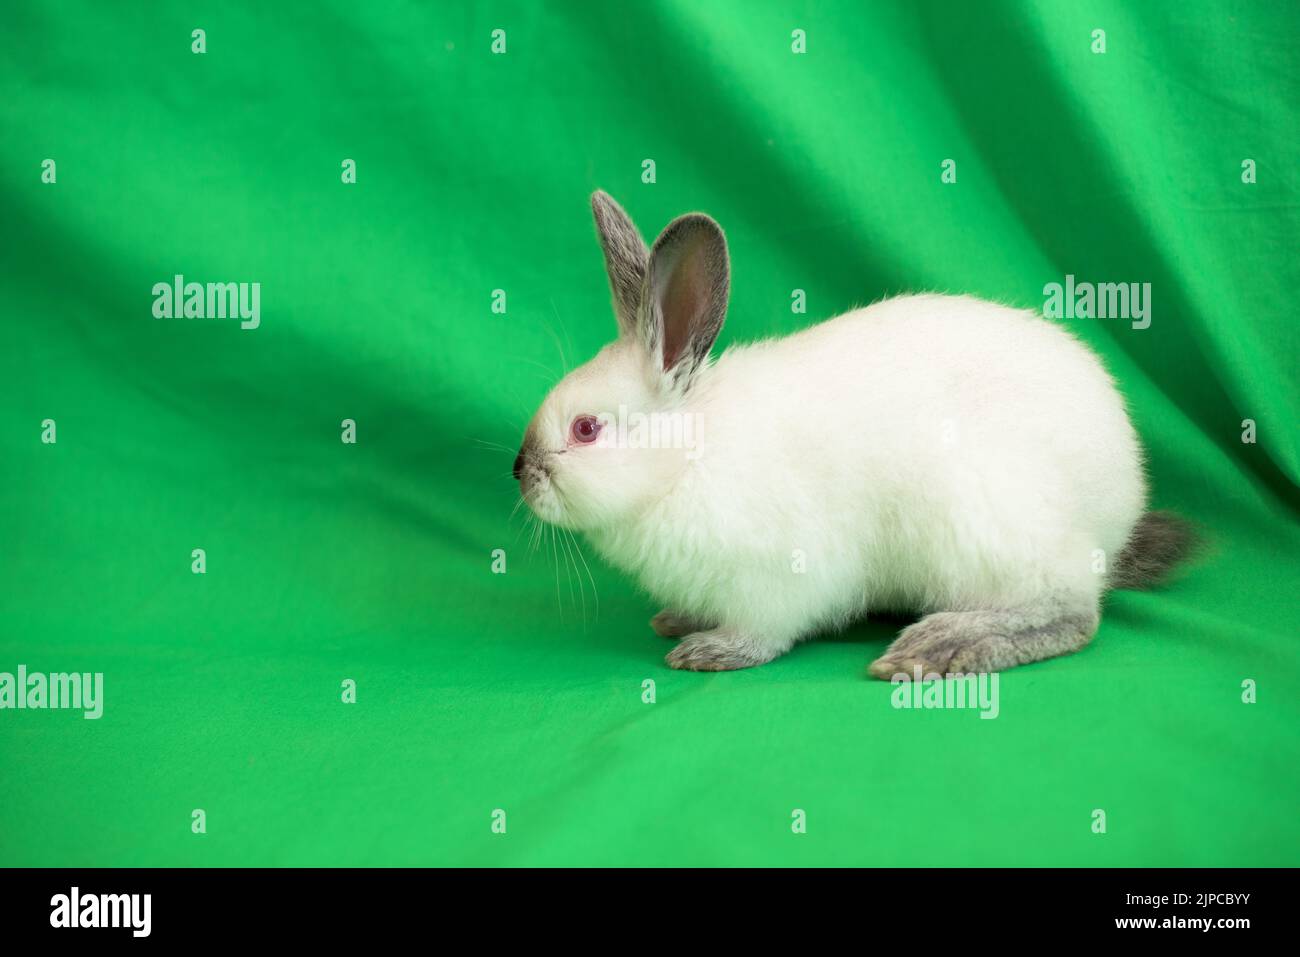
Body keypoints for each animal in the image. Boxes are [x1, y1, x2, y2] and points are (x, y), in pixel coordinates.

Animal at [514, 191, 1195, 678]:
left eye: (586, 429)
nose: (521, 474)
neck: (687, 461)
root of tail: (1122, 503)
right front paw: (677, 620)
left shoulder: (777, 580)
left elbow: (766, 633)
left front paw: (710, 651)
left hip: (986, 527)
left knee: (1072, 612)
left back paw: (939, 647)